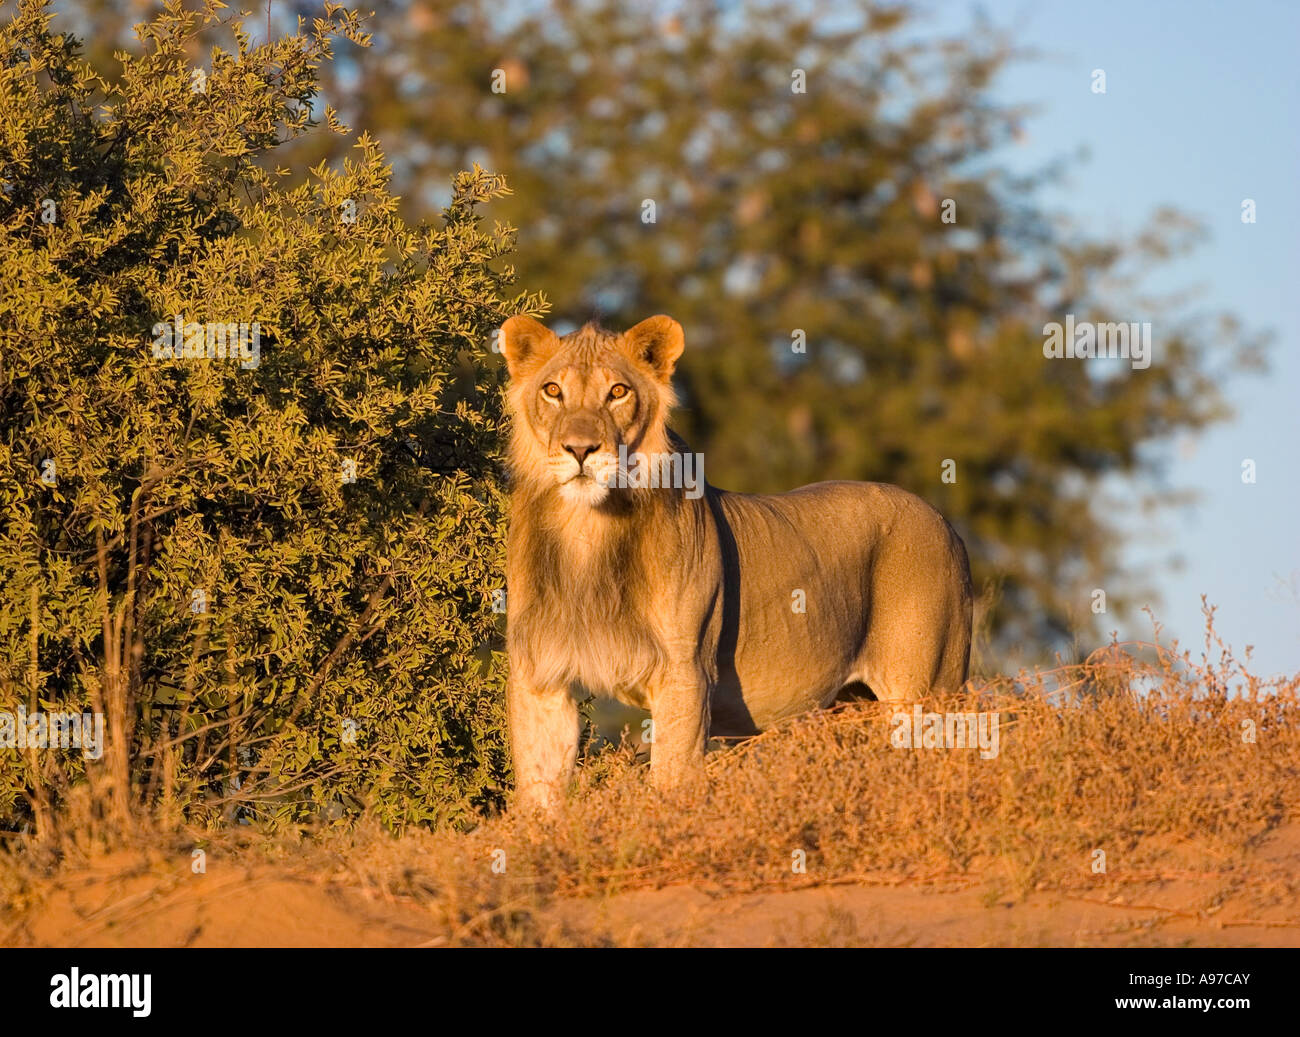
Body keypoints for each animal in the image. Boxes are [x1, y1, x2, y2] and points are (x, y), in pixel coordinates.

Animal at [501, 314, 973, 811]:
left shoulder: (684, 674)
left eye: (618, 392)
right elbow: (539, 794)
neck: (588, 528)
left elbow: (672, 782)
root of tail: (943, 520)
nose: (579, 450)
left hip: (927, 691)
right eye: (553, 391)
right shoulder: (540, 677)